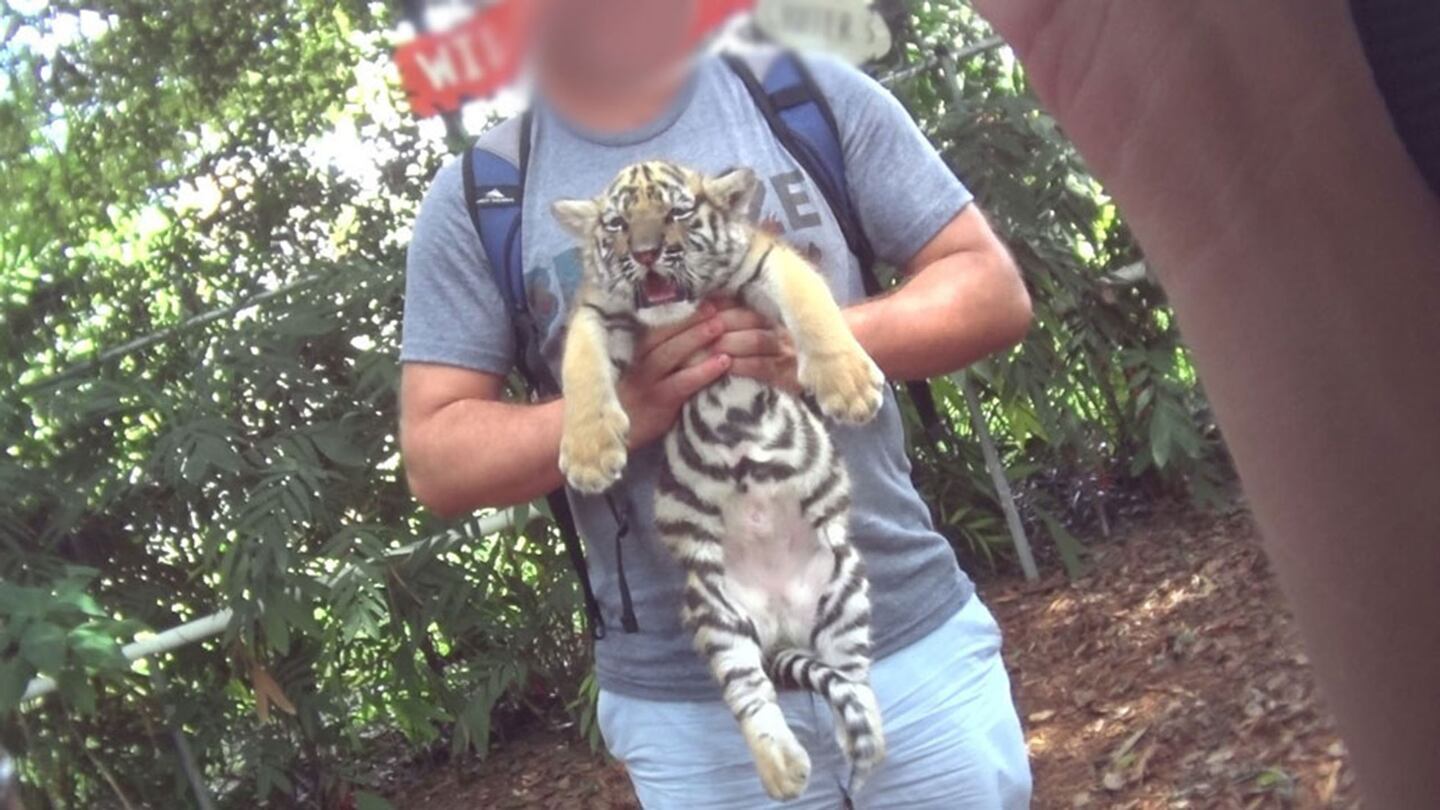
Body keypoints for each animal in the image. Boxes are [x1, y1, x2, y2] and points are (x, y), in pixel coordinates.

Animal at [552, 160, 887, 800]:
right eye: (617, 224)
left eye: (677, 213)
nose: (646, 253)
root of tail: (781, 622)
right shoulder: (598, 311)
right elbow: (579, 365)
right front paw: (588, 454)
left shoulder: (766, 261)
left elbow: (811, 306)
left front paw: (850, 386)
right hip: (718, 615)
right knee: (750, 694)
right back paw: (783, 769)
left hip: (843, 590)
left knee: (853, 677)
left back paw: (866, 739)